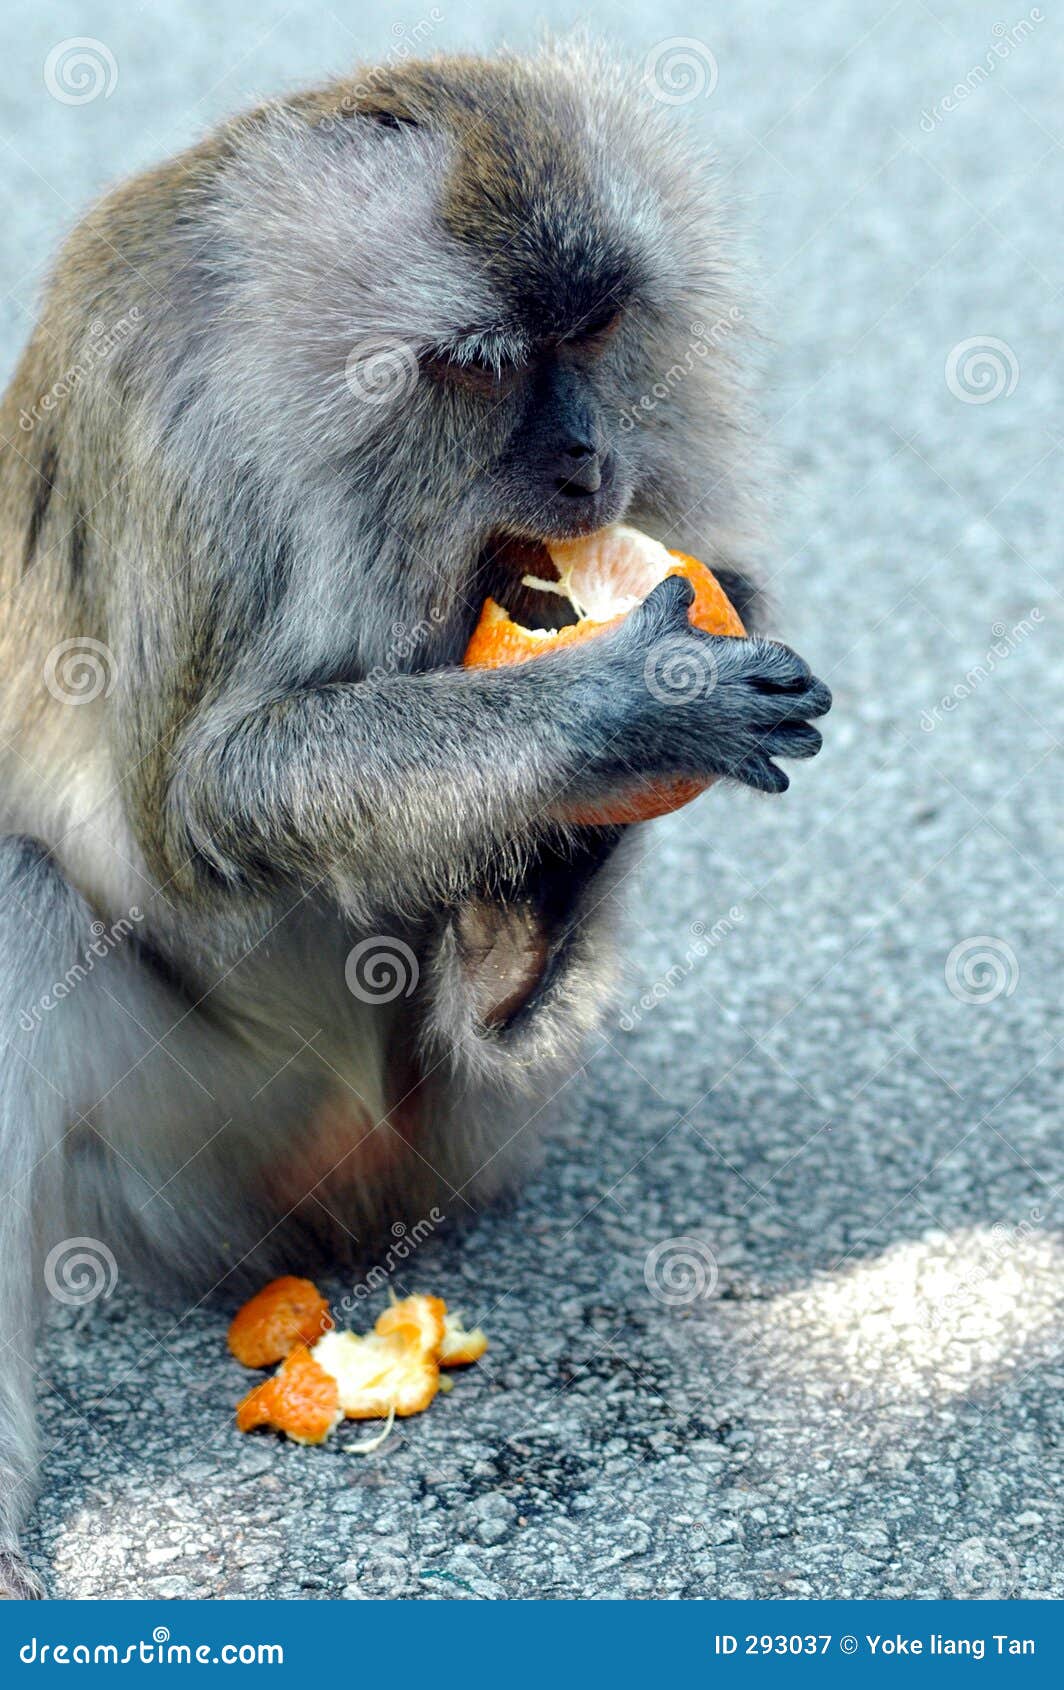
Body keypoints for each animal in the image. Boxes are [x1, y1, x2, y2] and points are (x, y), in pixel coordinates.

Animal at [0, 44, 830, 1596]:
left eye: (599, 328)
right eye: (487, 365)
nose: (587, 462)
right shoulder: (178, 441)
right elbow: (193, 796)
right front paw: (620, 707)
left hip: (479, 1121)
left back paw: (518, 940)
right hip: (188, 1163)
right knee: (25, 902)